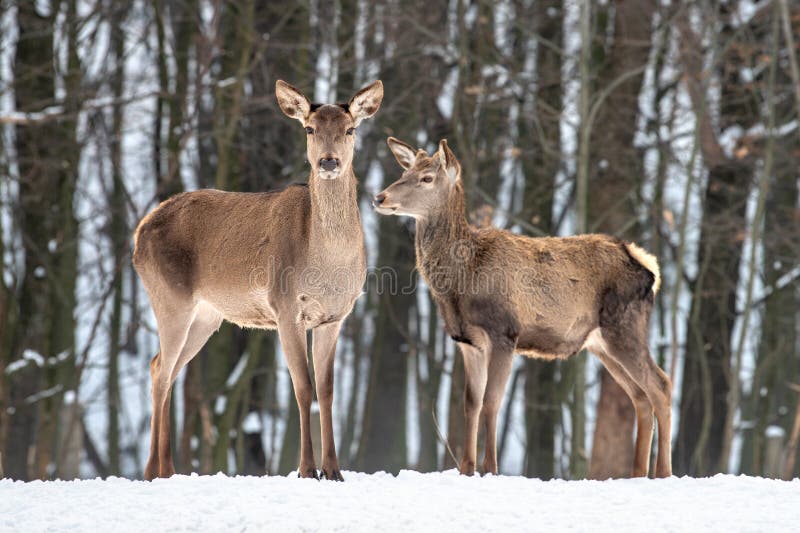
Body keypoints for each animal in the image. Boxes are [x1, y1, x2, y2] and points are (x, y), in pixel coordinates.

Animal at [133, 79, 384, 481]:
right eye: (309, 129)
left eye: (350, 129)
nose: (329, 161)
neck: (327, 265)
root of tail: (139, 231)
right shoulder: (285, 306)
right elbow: (303, 388)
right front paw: (306, 470)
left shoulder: (334, 317)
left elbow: (327, 392)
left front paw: (334, 471)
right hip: (169, 296)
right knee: (161, 369)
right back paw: (159, 470)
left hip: (207, 315)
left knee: (164, 367)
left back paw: (162, 470)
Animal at [374, 137, 672, 478]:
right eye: (405, 172)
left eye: (426, 178)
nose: (379, 197)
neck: (463, 277)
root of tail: (649, 268)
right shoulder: (467, 342)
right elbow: (471, 403)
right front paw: (466, 469)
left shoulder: (504, 332)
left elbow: (492, 401)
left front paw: (490, 468)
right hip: (602, 344)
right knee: (640, 397)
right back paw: (637, 473)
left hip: (625, 326)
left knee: (660, 385)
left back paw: (663, 472)